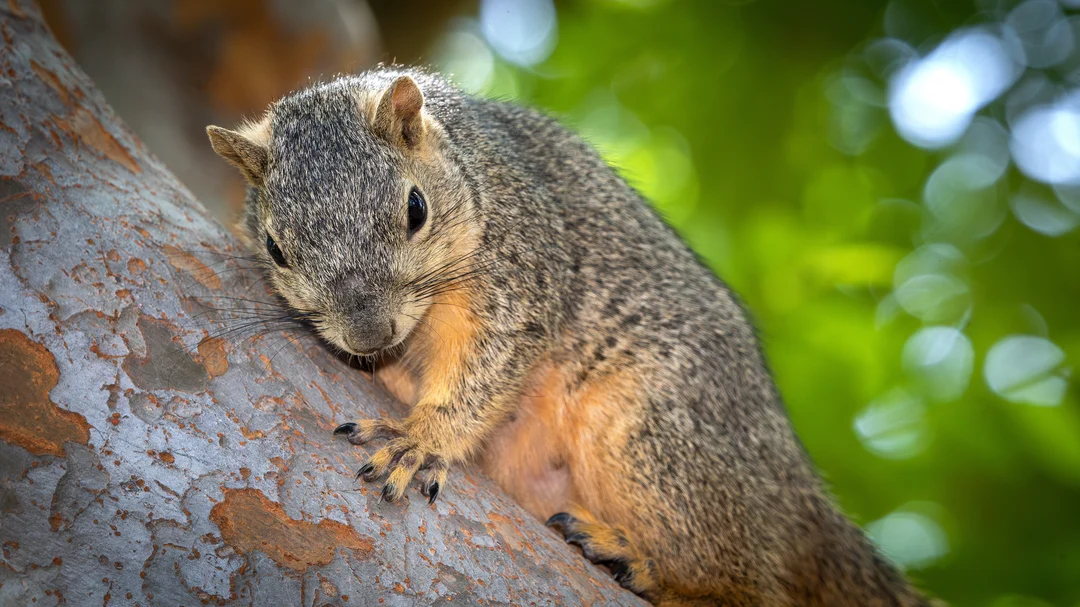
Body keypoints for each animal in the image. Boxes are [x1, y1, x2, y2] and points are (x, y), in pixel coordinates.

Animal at [206, 67, 932, 606]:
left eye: (415, 209)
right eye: (275, 249)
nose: (366, 335)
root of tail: (798, 493)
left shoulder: (524, 264)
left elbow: (490, 363)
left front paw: (423, 438)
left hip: (654, 434)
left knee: (750, 584)